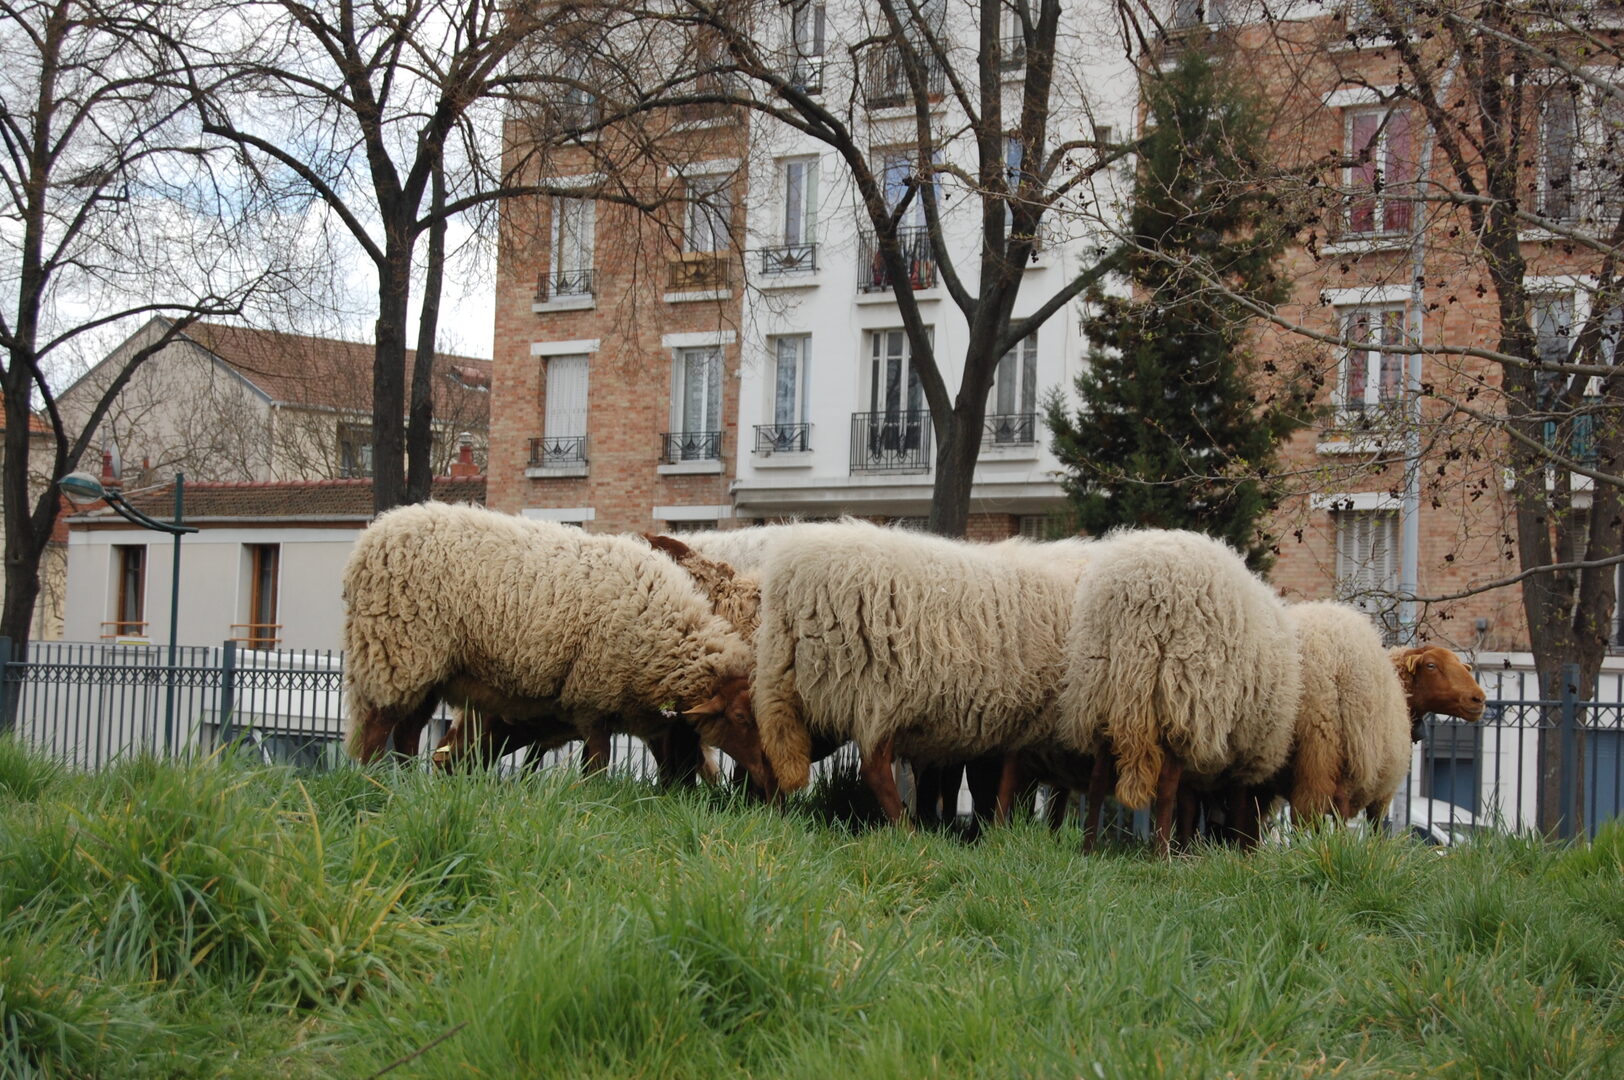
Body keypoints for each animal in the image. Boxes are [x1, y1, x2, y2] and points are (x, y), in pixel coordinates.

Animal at [339, 496, 776, 792]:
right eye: (741, 718)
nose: (771, 777)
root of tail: (371, 538)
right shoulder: (593, 696)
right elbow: (598, 762)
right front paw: (596, 801)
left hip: (428, 669)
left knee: (409, 731)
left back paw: (408, 784)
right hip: (397, 650)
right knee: (379, 728)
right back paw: (377, 784)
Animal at [1052, 529, 1305, 851]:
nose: (1249, 849)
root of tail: (1141, 588)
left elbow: (1189, 804)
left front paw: (1189, 848)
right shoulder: (1238, 752)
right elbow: (1220, 803)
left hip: (1103, 689)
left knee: (1098, 780)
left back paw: (1089, 848)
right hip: (1182, 694)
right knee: (1165, 786)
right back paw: (1162, 852)